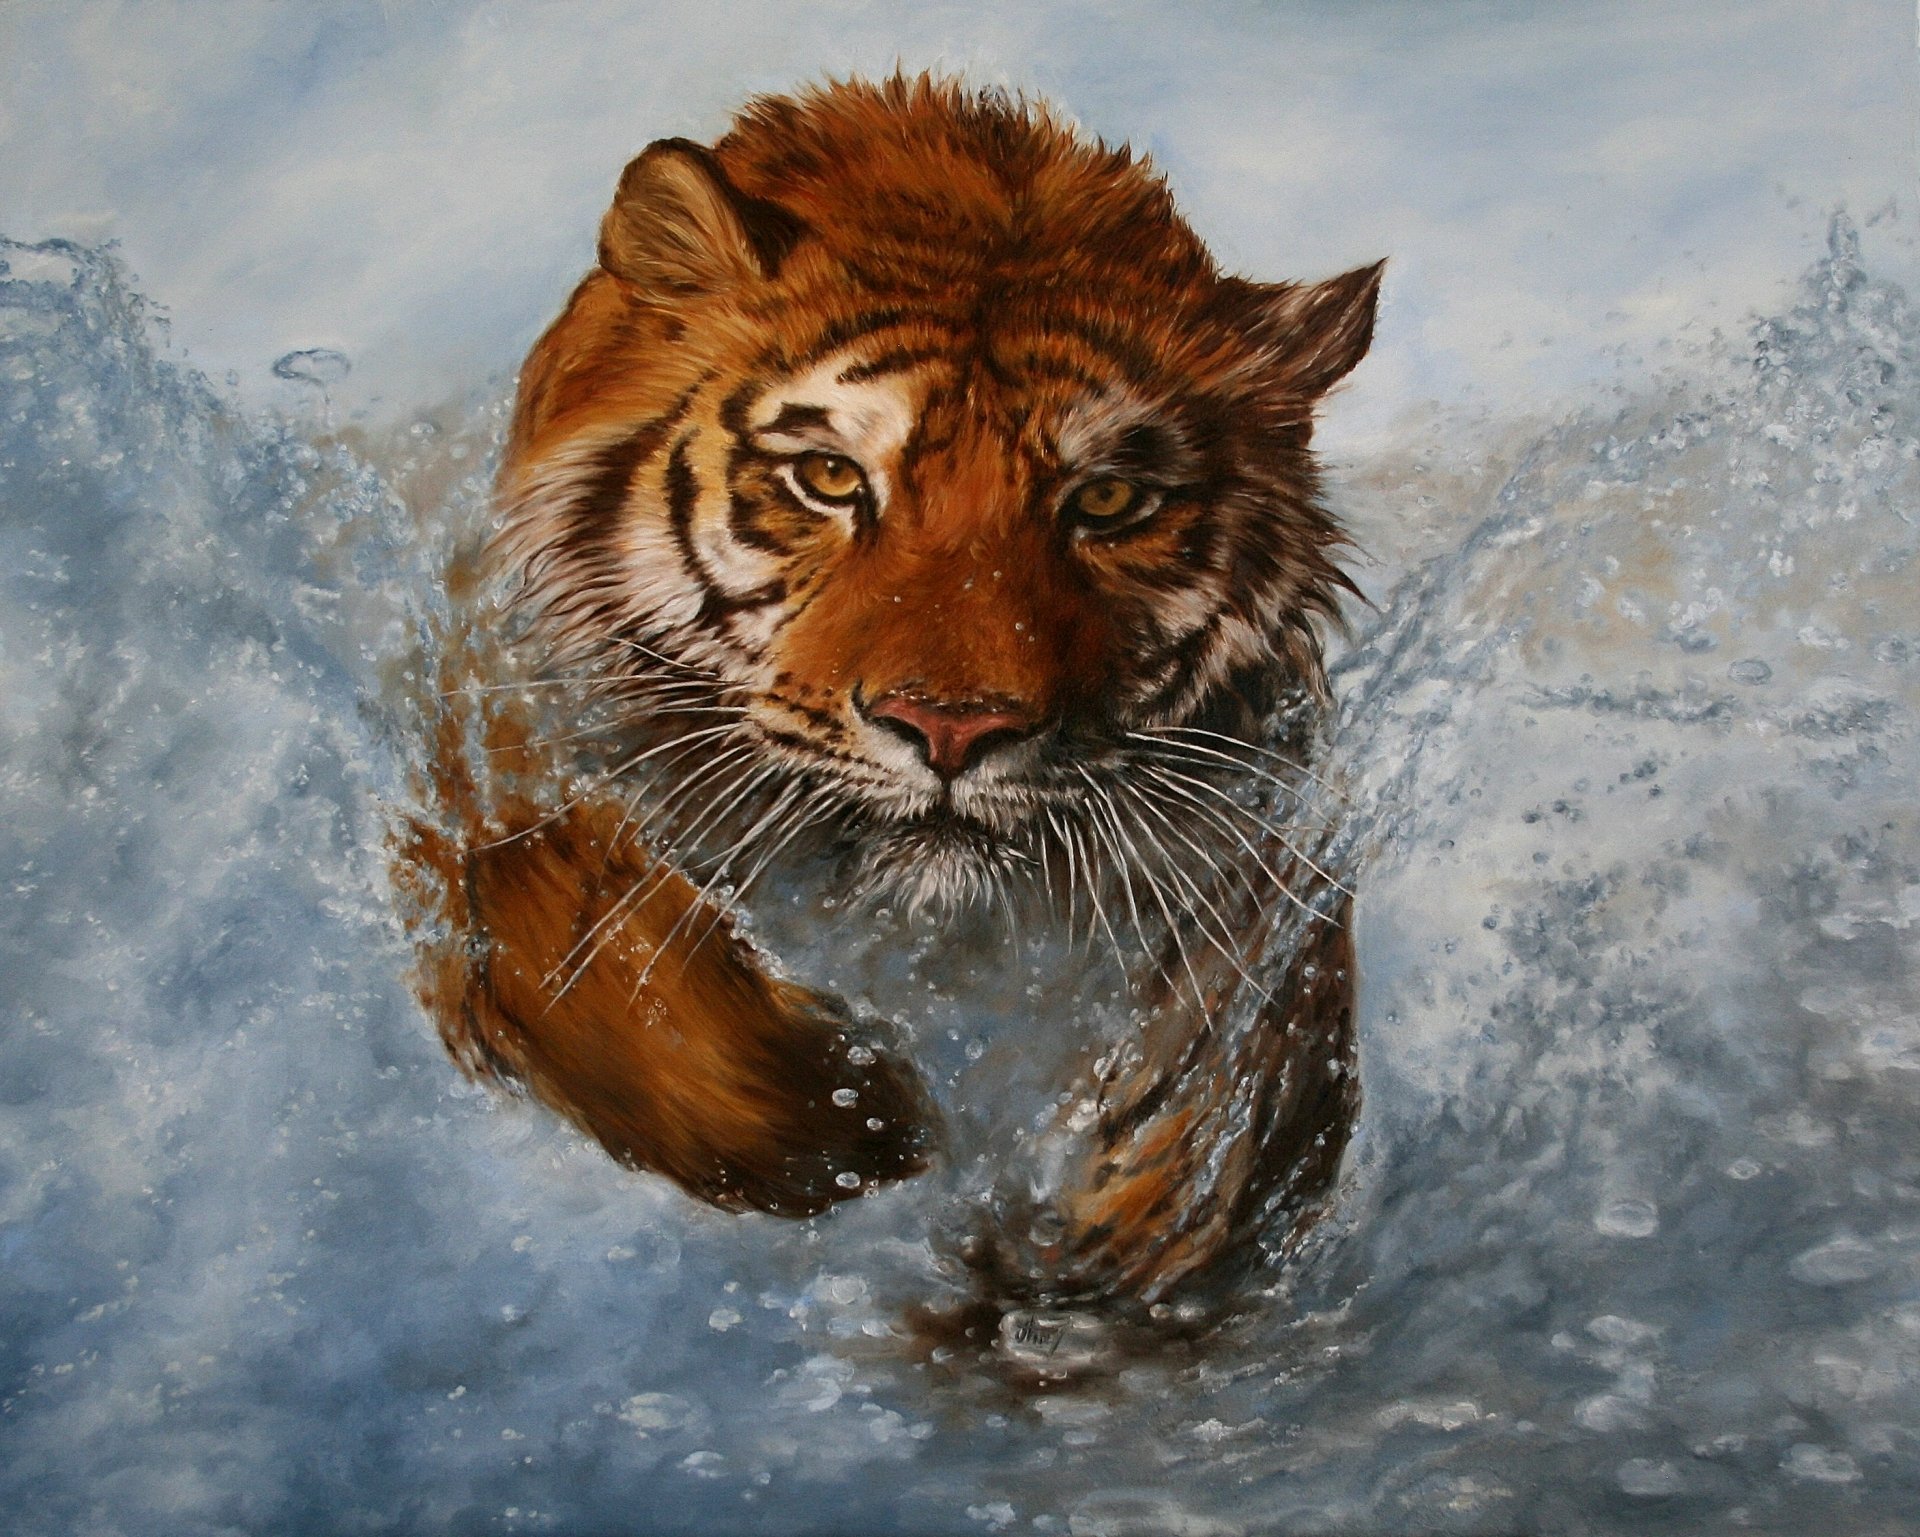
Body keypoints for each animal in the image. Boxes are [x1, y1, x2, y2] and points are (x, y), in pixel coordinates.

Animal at [397, 74, 1380, 1312]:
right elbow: (590, 941)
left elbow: (1255, 1036)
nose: (954, 727)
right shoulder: (500, 753)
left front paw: (1143, 1208)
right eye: (829, 477)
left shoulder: (1261, 830)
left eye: (1107, 501)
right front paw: (853, 1122)